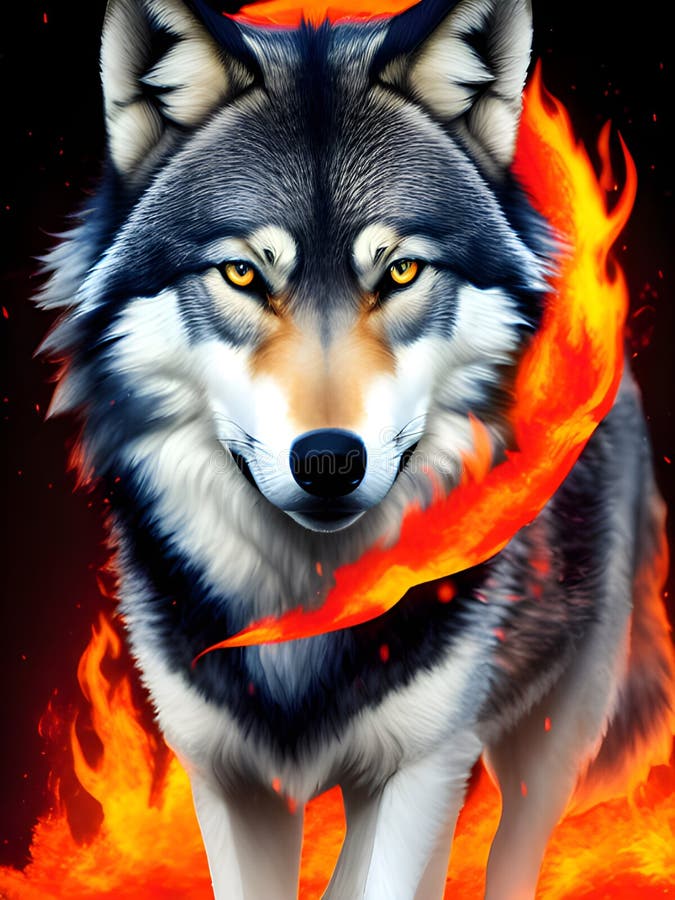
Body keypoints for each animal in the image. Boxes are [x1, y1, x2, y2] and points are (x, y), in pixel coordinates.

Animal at [40, 0, 675, 896]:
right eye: (242, 273)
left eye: (401, 270)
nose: (329, 462)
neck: (308, 609)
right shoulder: (227, 778)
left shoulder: (423, 766)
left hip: (548, 735)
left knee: (516, 846)